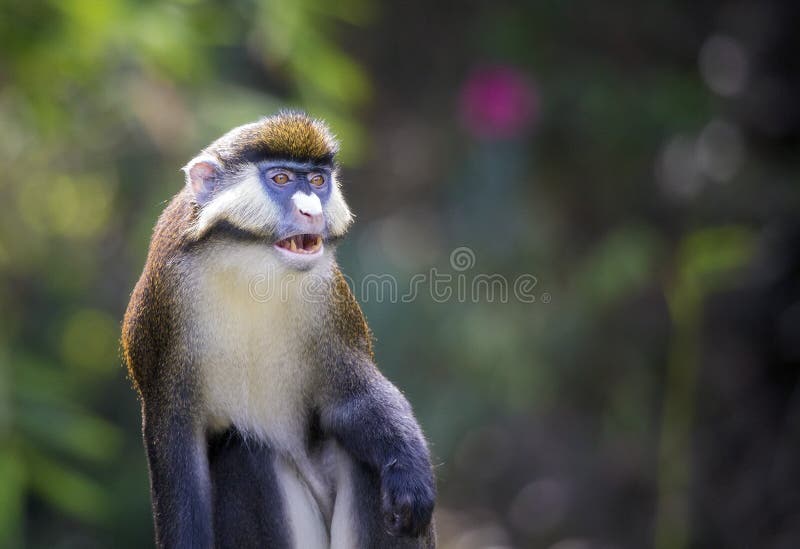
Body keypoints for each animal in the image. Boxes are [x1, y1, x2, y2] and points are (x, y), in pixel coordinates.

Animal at [121, 111, 436, 548]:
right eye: (282, 179)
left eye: (318, 181)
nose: (311, 211)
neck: (249, 268)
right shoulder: (164, 317)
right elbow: (178, 455)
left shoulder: (329, 302)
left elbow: (352, 398)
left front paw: (409, 471)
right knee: (245, 454)